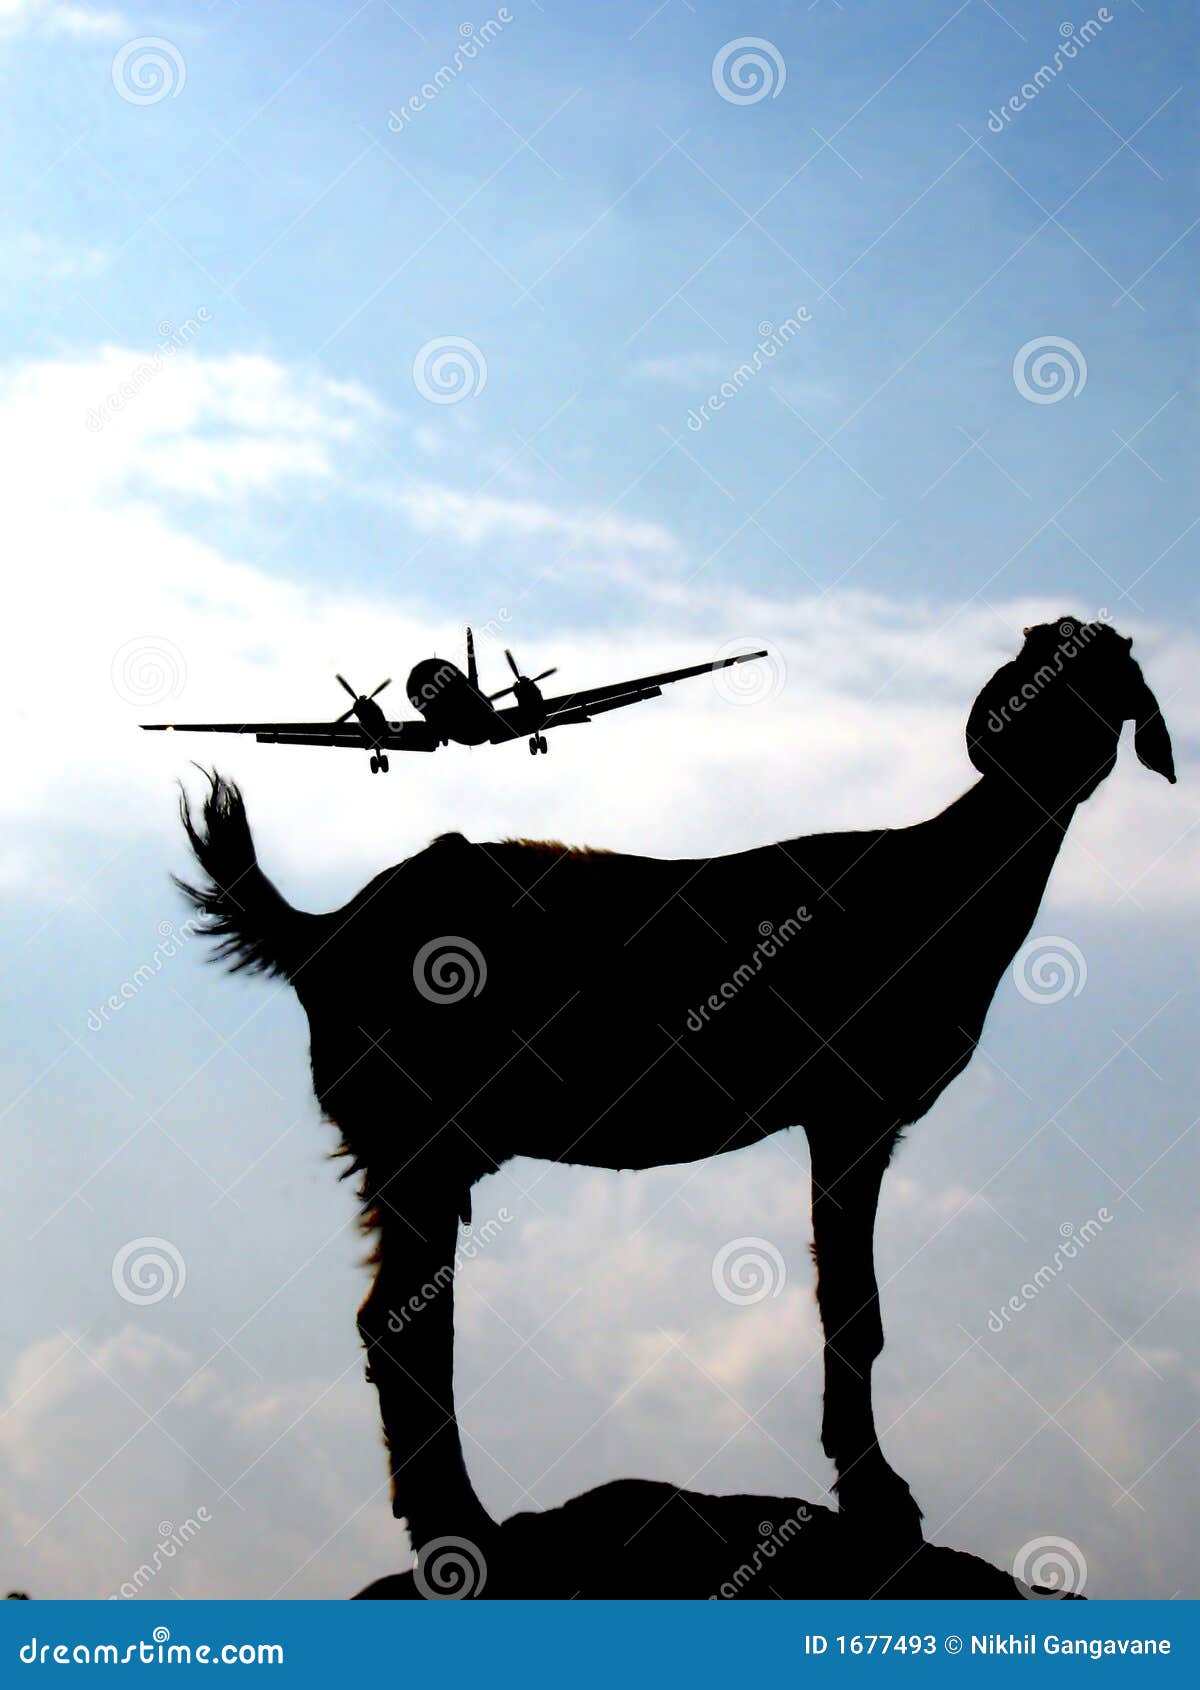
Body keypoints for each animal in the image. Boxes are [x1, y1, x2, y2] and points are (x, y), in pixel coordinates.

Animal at [177, 619, 1175, 1553]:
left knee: (411, 1318)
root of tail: (319, 931)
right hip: (413, 1131)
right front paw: (879, 1495)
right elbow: (853, 1308)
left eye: (1107, 673)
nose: (1037, 752)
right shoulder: (850, 1109)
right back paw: (457, 1522)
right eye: (1036, 665)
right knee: (400, 1324)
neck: (942, 881)